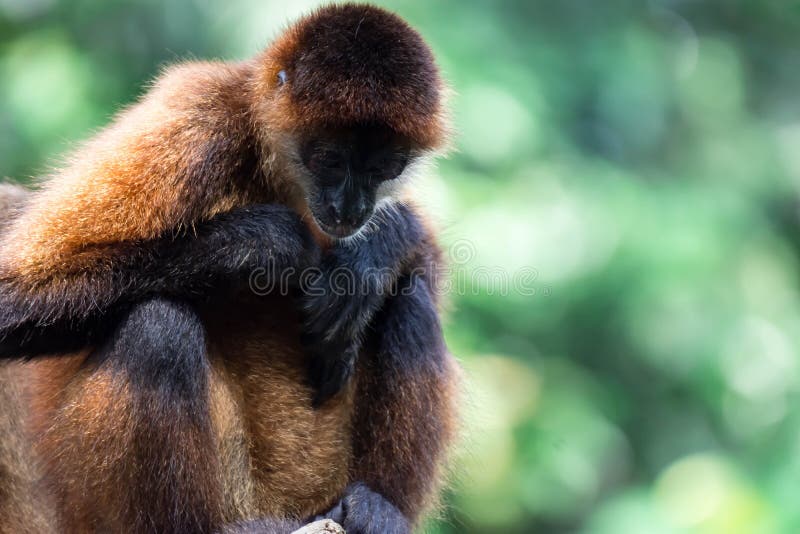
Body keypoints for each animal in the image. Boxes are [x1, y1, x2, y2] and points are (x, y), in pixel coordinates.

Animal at [0, 4, 459, 533]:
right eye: (329, 159)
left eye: (384, 167)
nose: (352, 208)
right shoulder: (201, 114)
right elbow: (13, 299)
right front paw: (261, 244)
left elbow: (419, 274)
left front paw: (373, 255)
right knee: (157, 329)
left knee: (410, 299)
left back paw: (379, 509)